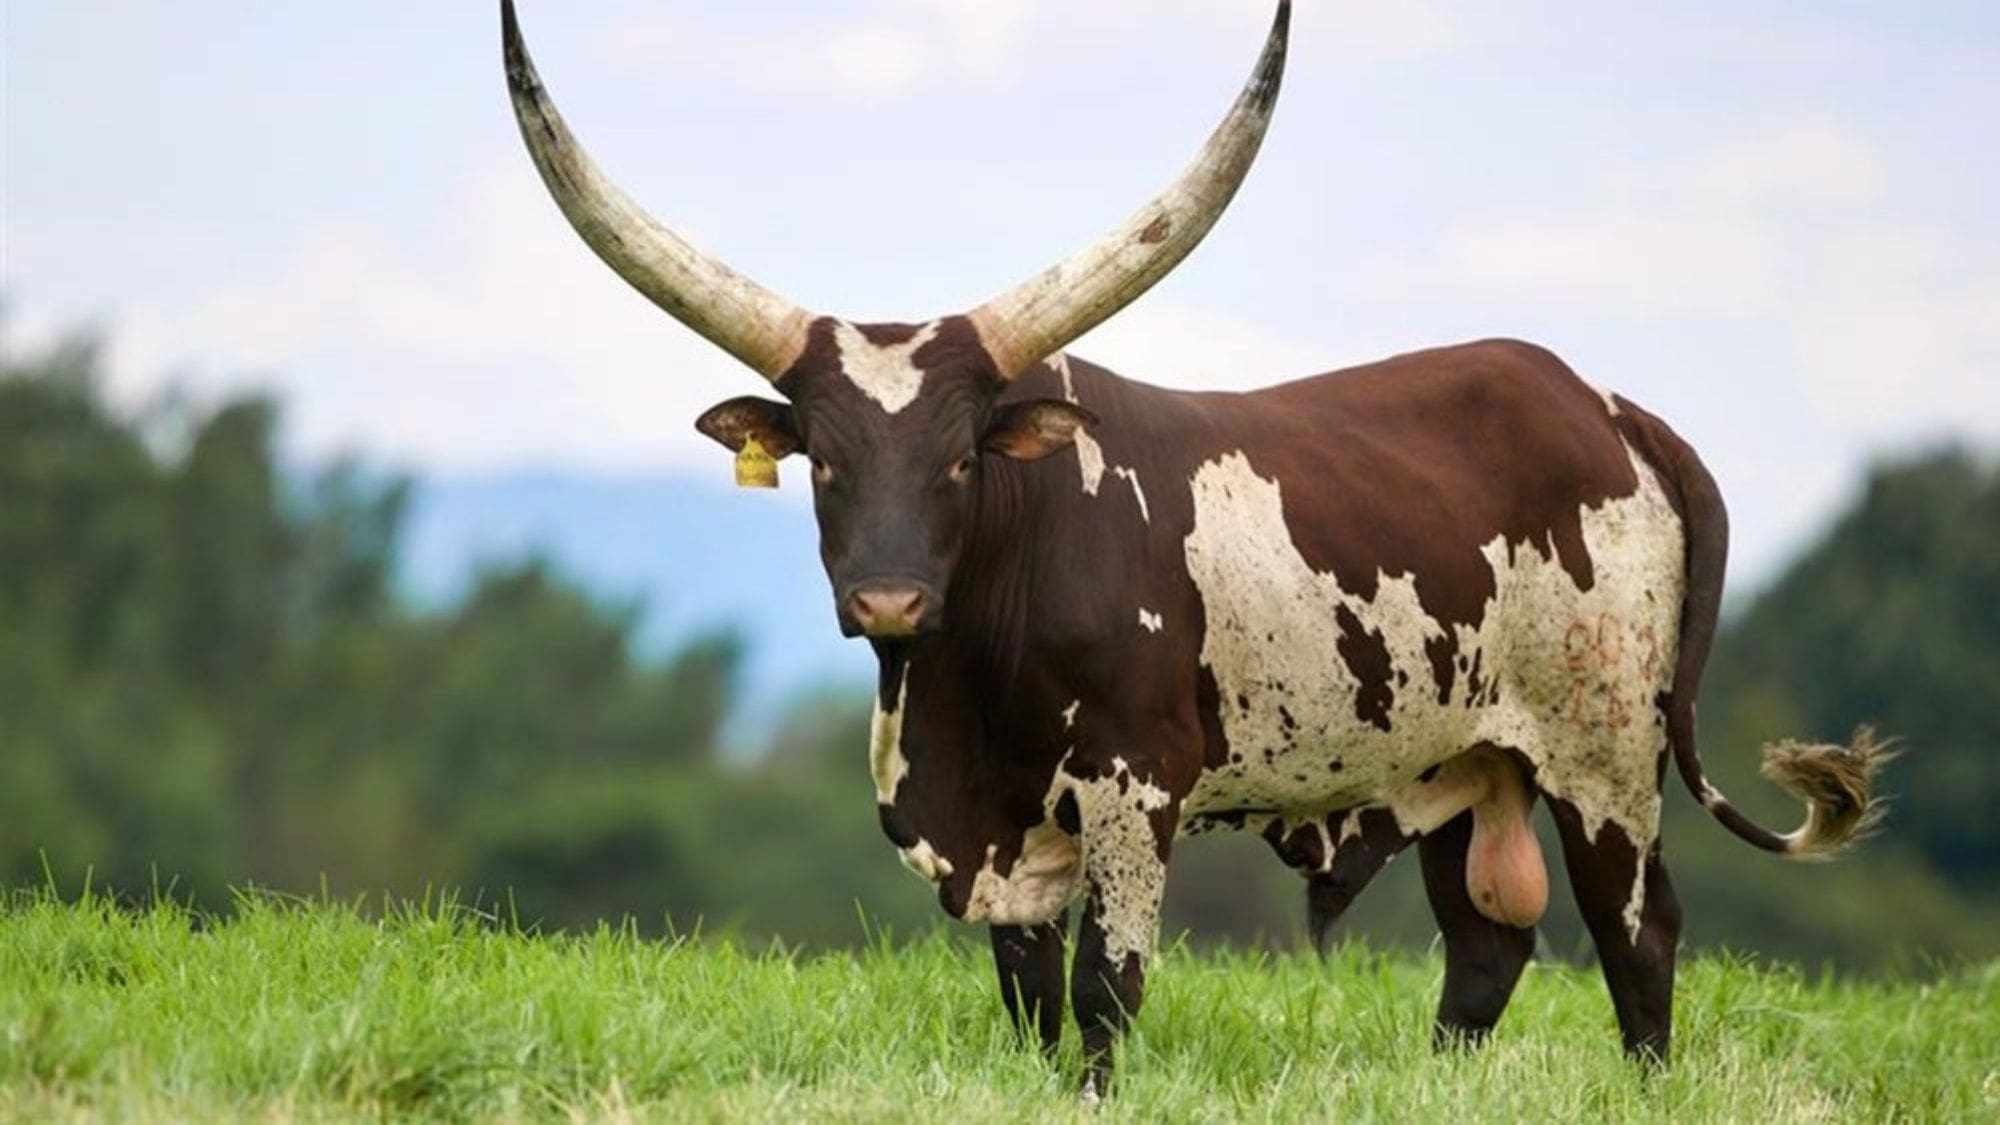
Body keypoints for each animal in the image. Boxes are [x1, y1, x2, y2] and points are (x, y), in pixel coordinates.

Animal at [500, 0, 1888, 1097]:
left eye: (958, 461)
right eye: (824, 462)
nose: (889, 599)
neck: (960, 693)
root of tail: (1607, 406)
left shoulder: (1133, 785)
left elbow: (1106, 988)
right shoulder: (1008, 829)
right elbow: (1026, 993)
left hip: (1599, 751)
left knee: (1635, 931)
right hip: (1457, 758)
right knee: (1486, 942)